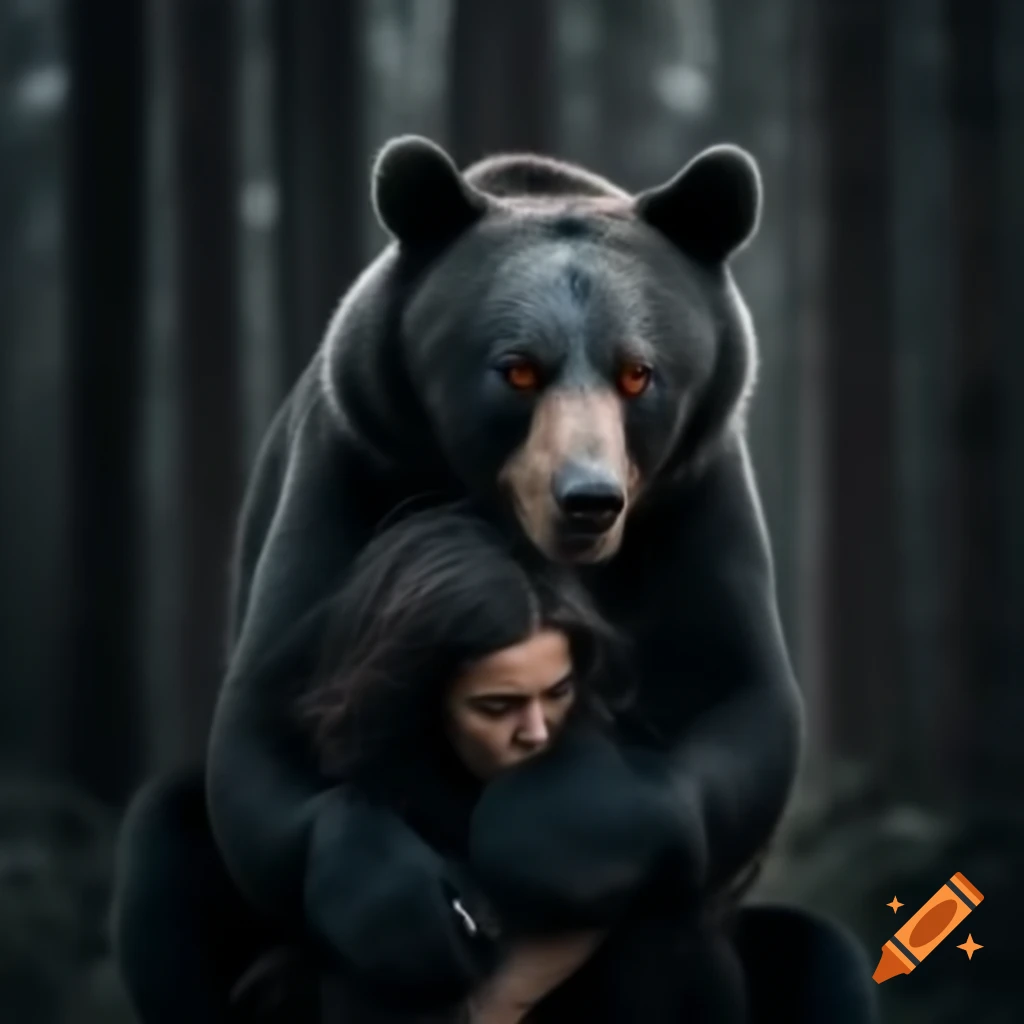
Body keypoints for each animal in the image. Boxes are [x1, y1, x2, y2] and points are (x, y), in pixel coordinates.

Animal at [114, 135, 879, 1023]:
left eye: (638, 373)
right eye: (517, 371)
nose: (588, 499)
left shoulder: (694, 505)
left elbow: (740, 705)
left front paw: (544, 828)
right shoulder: (356, 469)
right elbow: (266, 737)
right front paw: (411, 906)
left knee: (818, 957)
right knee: (167, 863)